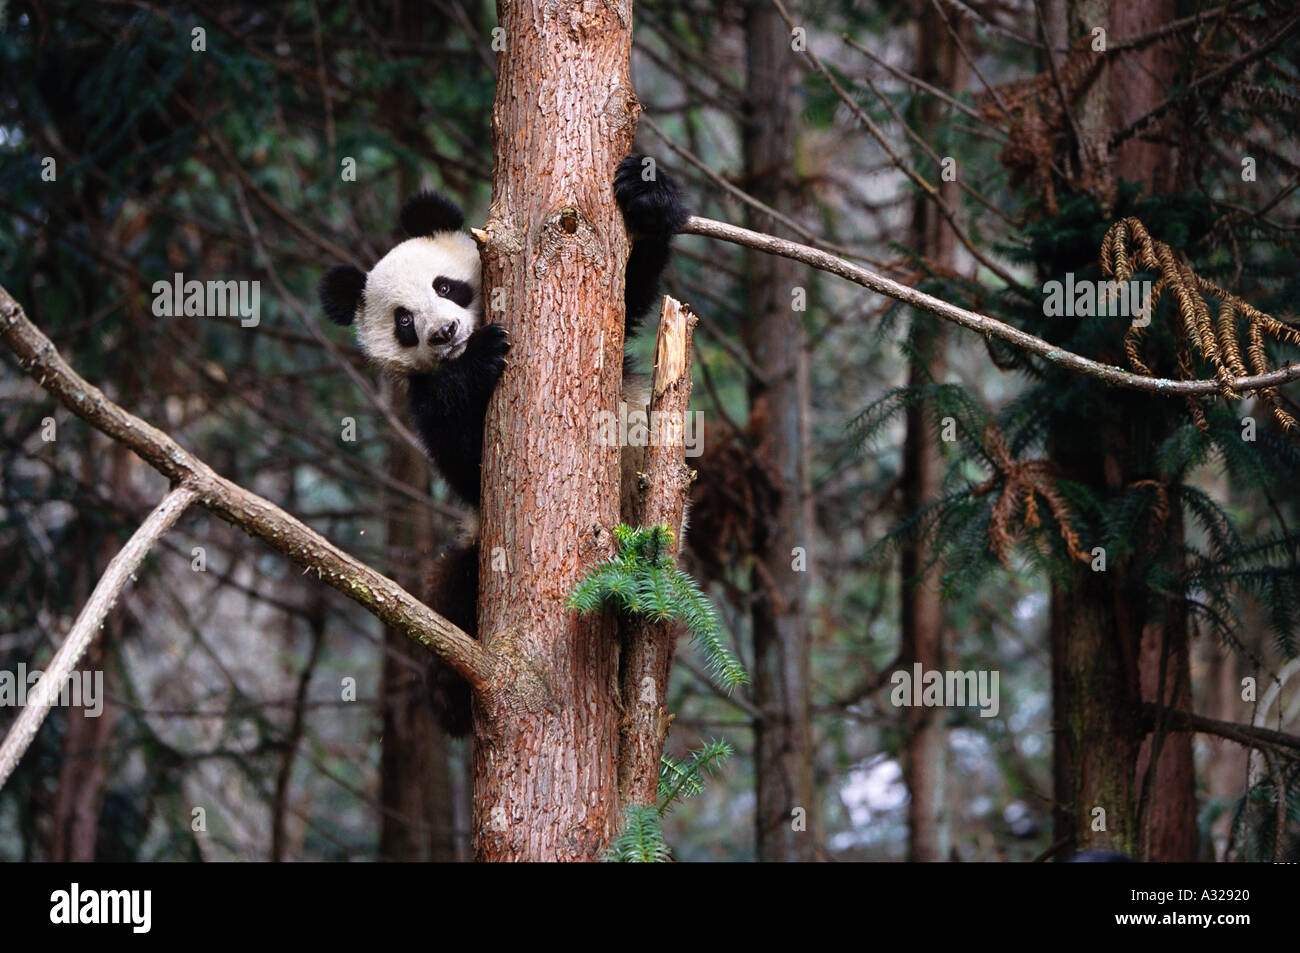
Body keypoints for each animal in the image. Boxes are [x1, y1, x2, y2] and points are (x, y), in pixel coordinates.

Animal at [319, 155, 689, 735]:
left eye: (447, 287)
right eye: (404, 321)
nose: (445, 333)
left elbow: (631, 288)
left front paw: (645, 194)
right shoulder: (425, 406)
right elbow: (464, 458)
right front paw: (479, 360)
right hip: (471, 553)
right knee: (452, 588)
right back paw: (451, 698)